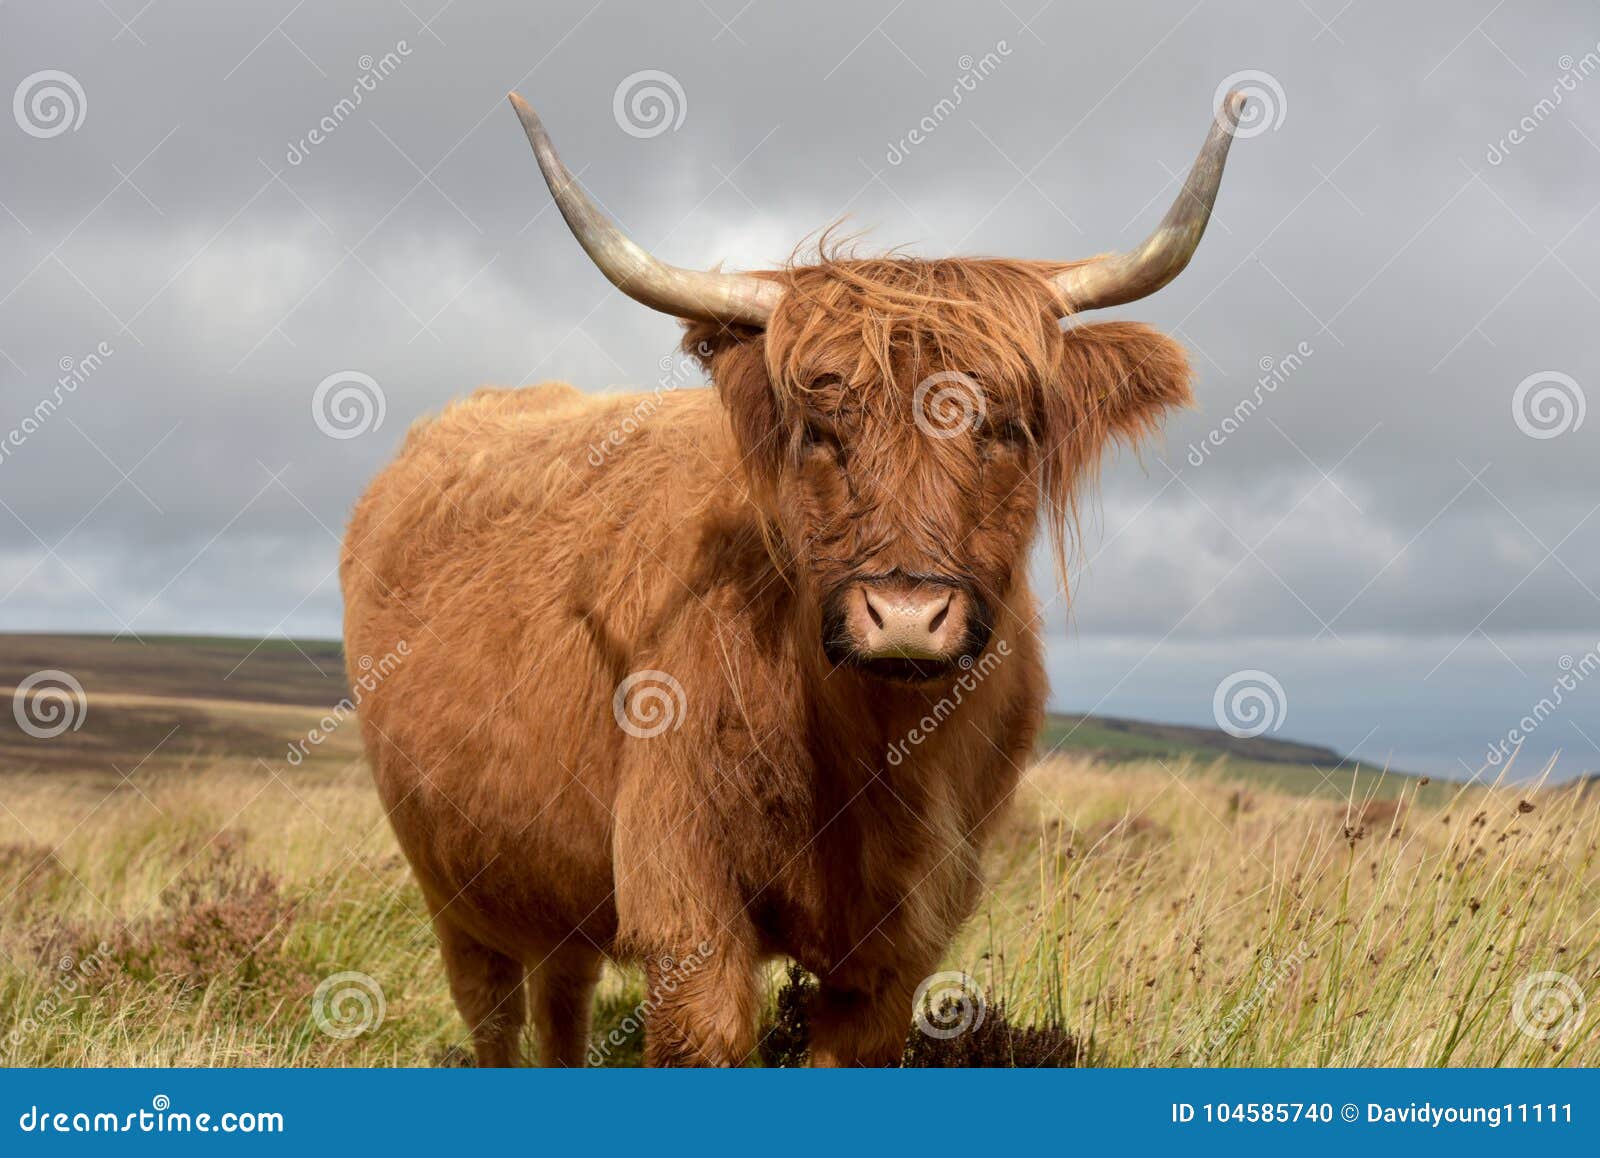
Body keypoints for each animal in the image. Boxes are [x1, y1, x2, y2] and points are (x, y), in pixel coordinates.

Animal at [340, 88, 1247, 1066]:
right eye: (819, 428)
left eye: (1007, 427)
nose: (905, 614)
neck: (865, 755)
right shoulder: (686, 906)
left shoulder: (900, 943)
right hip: (455, 885)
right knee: (496, 1011)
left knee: (561, 997)